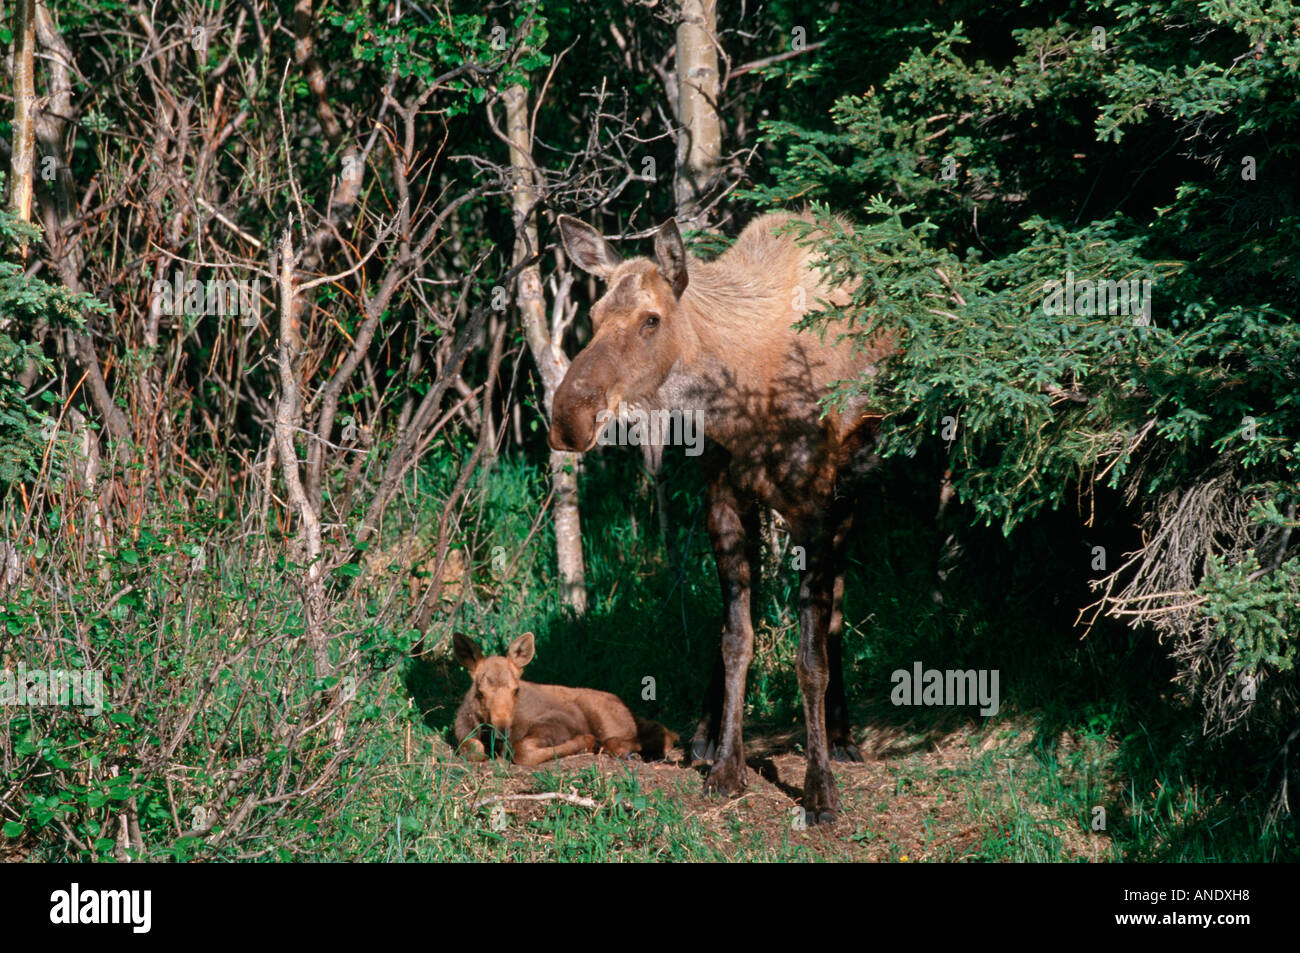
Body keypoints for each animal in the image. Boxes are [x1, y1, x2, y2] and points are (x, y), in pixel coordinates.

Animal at [453, 632, 679, 766]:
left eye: (516, 690)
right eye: (480, 692)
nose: (501, 732)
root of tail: (627, 708)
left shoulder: (559, 723)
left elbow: (521, 751)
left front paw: (585, 741)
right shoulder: (464, 734)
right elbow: (472, 749)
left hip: (603, 717)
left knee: (655, 733)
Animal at [549, 211, 895, 823]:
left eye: (651, 319)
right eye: (593, 317)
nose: (569, 417)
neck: (743, 404)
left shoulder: (816, 506)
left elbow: (810, 655)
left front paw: (819, 788)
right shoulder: (723, 499)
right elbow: (736, 638)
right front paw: (726, 767)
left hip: (854, 485)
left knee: (836, 604)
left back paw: (842, 734)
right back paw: (707, 735)